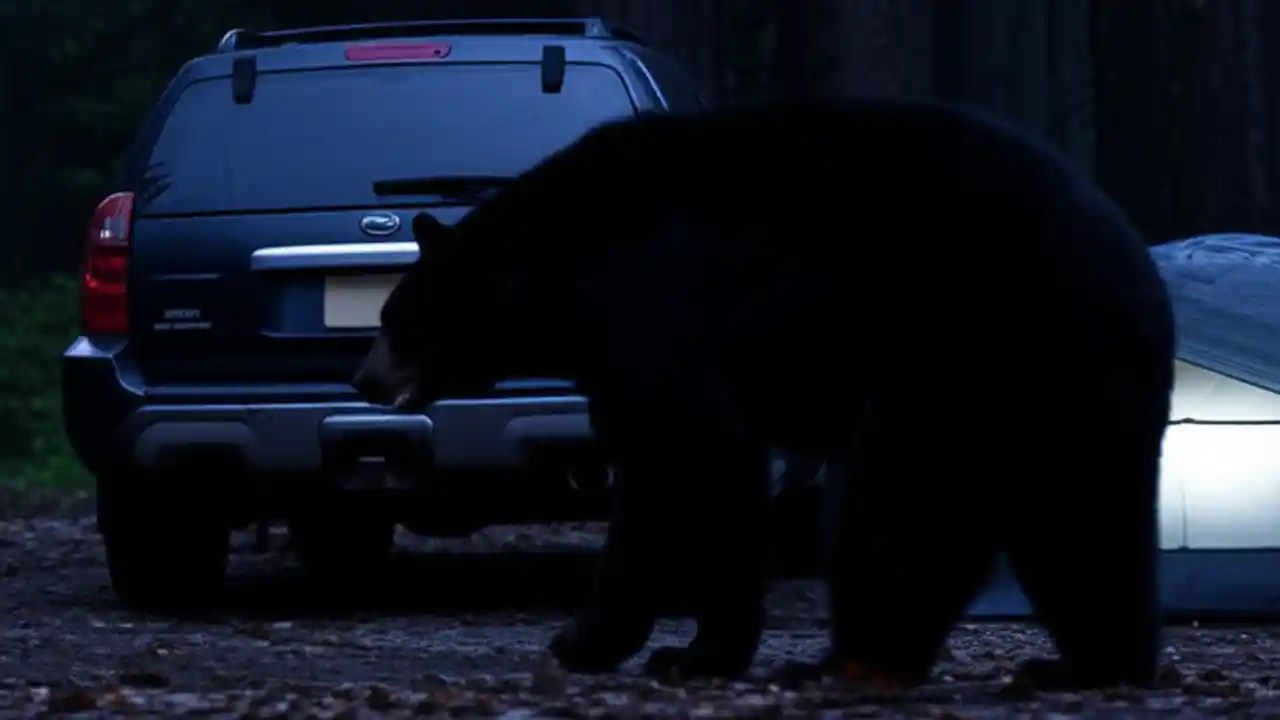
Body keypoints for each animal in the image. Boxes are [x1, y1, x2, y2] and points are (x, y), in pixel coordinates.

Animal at [352, 97, 1175, 691]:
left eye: (392, 316)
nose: (361, 376)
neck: (560, 273)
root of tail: (1134, 279)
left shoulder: (653, 309)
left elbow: (690, 464)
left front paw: (650, 646)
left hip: (962, 350)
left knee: (905, 500)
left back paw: (849, 658)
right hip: (1066, 388)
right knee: (1079, 515)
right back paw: (1086, 662)